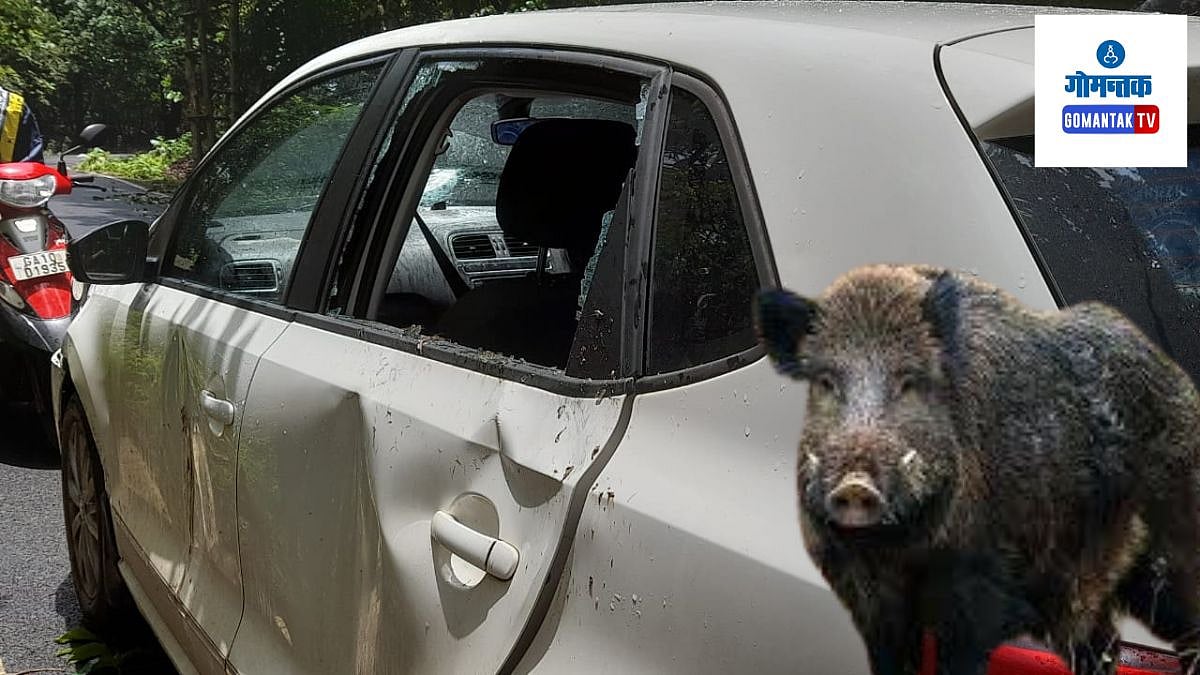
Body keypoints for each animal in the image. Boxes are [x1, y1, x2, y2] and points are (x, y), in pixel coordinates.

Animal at [754, 264, 1200, 675]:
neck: (900, 548)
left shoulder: (981, 586)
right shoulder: (867, 598)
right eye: (825, 381)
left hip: (1167, 550)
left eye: (910, 381)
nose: (856, 486)